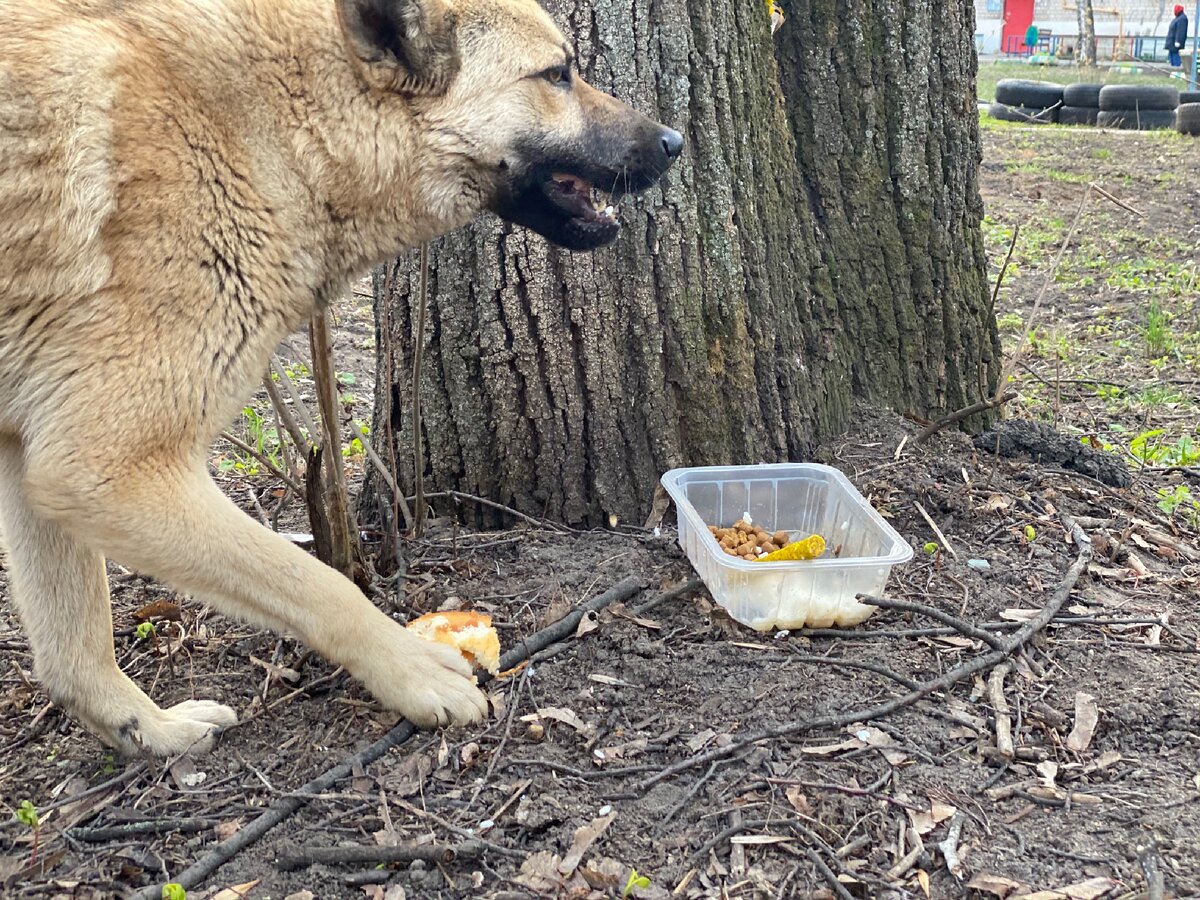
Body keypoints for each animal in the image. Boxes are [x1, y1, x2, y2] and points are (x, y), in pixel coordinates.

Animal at [0, 0, 681, 758]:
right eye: (556, 73)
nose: (675, 141)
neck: (278, 133)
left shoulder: (34, 462)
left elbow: (76, 648)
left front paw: (148, 730)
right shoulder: (108, 471)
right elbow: (319, 583)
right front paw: (412, 672)